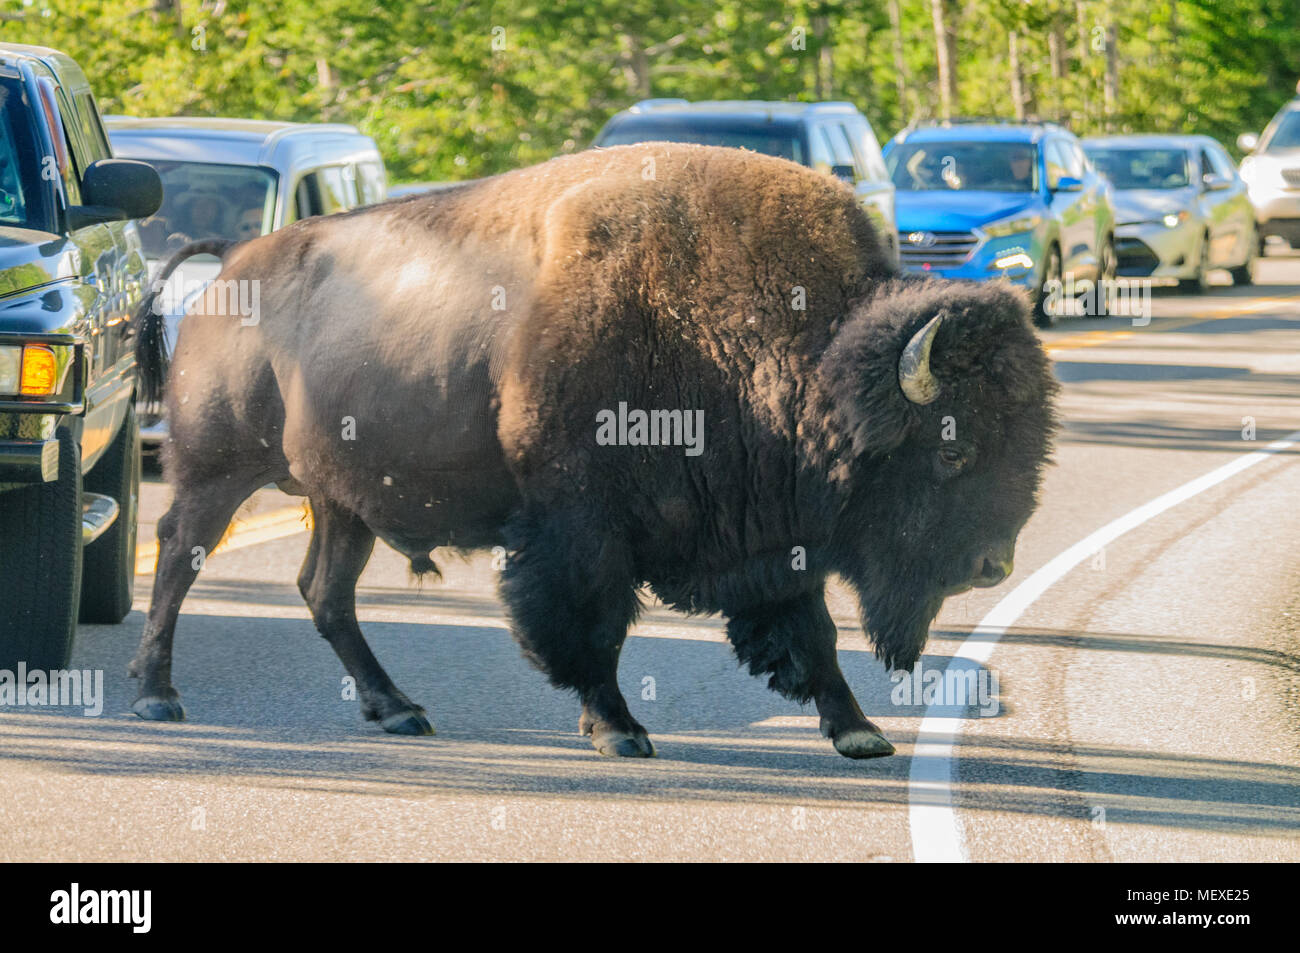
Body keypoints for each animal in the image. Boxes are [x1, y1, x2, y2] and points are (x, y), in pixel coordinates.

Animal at [130, 143, 1057, 759]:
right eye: (952, 450)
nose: (992, 565)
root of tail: (232, 262)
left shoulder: (769, 534)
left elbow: (812, 635)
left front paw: (860, 732)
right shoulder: (581, 527)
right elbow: (592, 630)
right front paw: (618, 730)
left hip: (339, 498)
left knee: (325, 593)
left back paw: (398, 708)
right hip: (216, 469)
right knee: (177, 555)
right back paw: (156, 697)